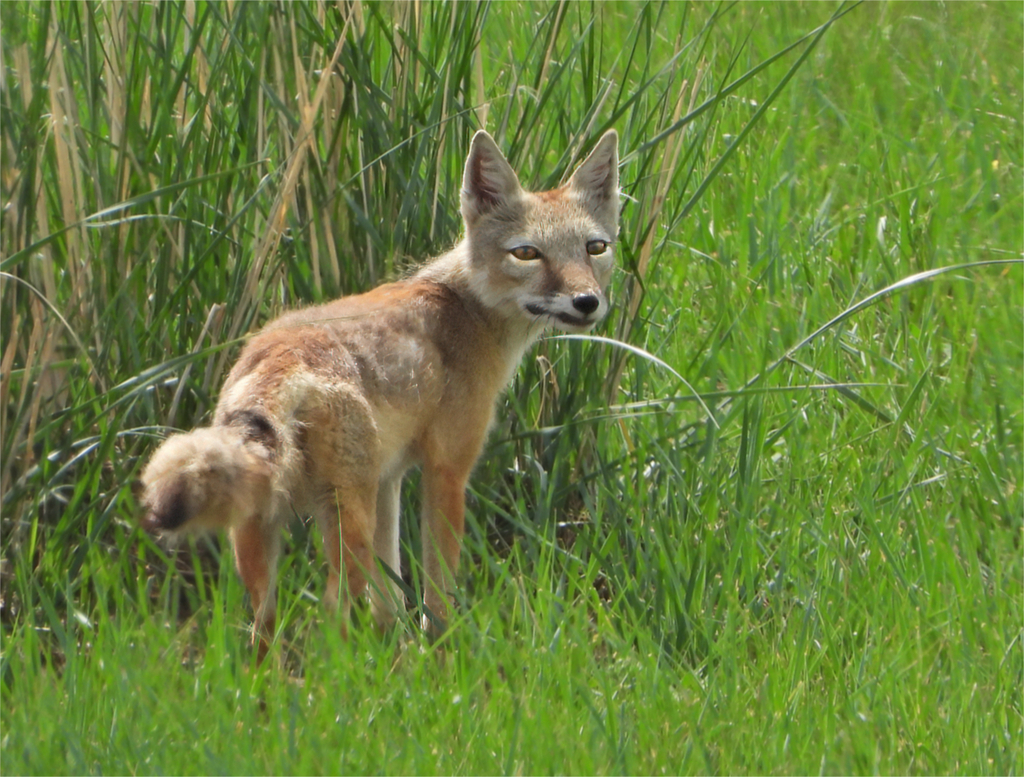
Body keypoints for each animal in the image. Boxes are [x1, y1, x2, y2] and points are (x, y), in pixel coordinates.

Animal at [136, 129, 619, 660]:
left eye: (595, 248)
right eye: (527, 253)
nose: (587, 302)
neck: (463, 310)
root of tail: (276, 356)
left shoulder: (392, 478)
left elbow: (390, 600)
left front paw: (400, 653)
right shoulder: (447, 472)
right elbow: (437, 591)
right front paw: (441, 654)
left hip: (266, 533)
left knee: (264, 630)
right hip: (348, 523)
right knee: (332, 611)